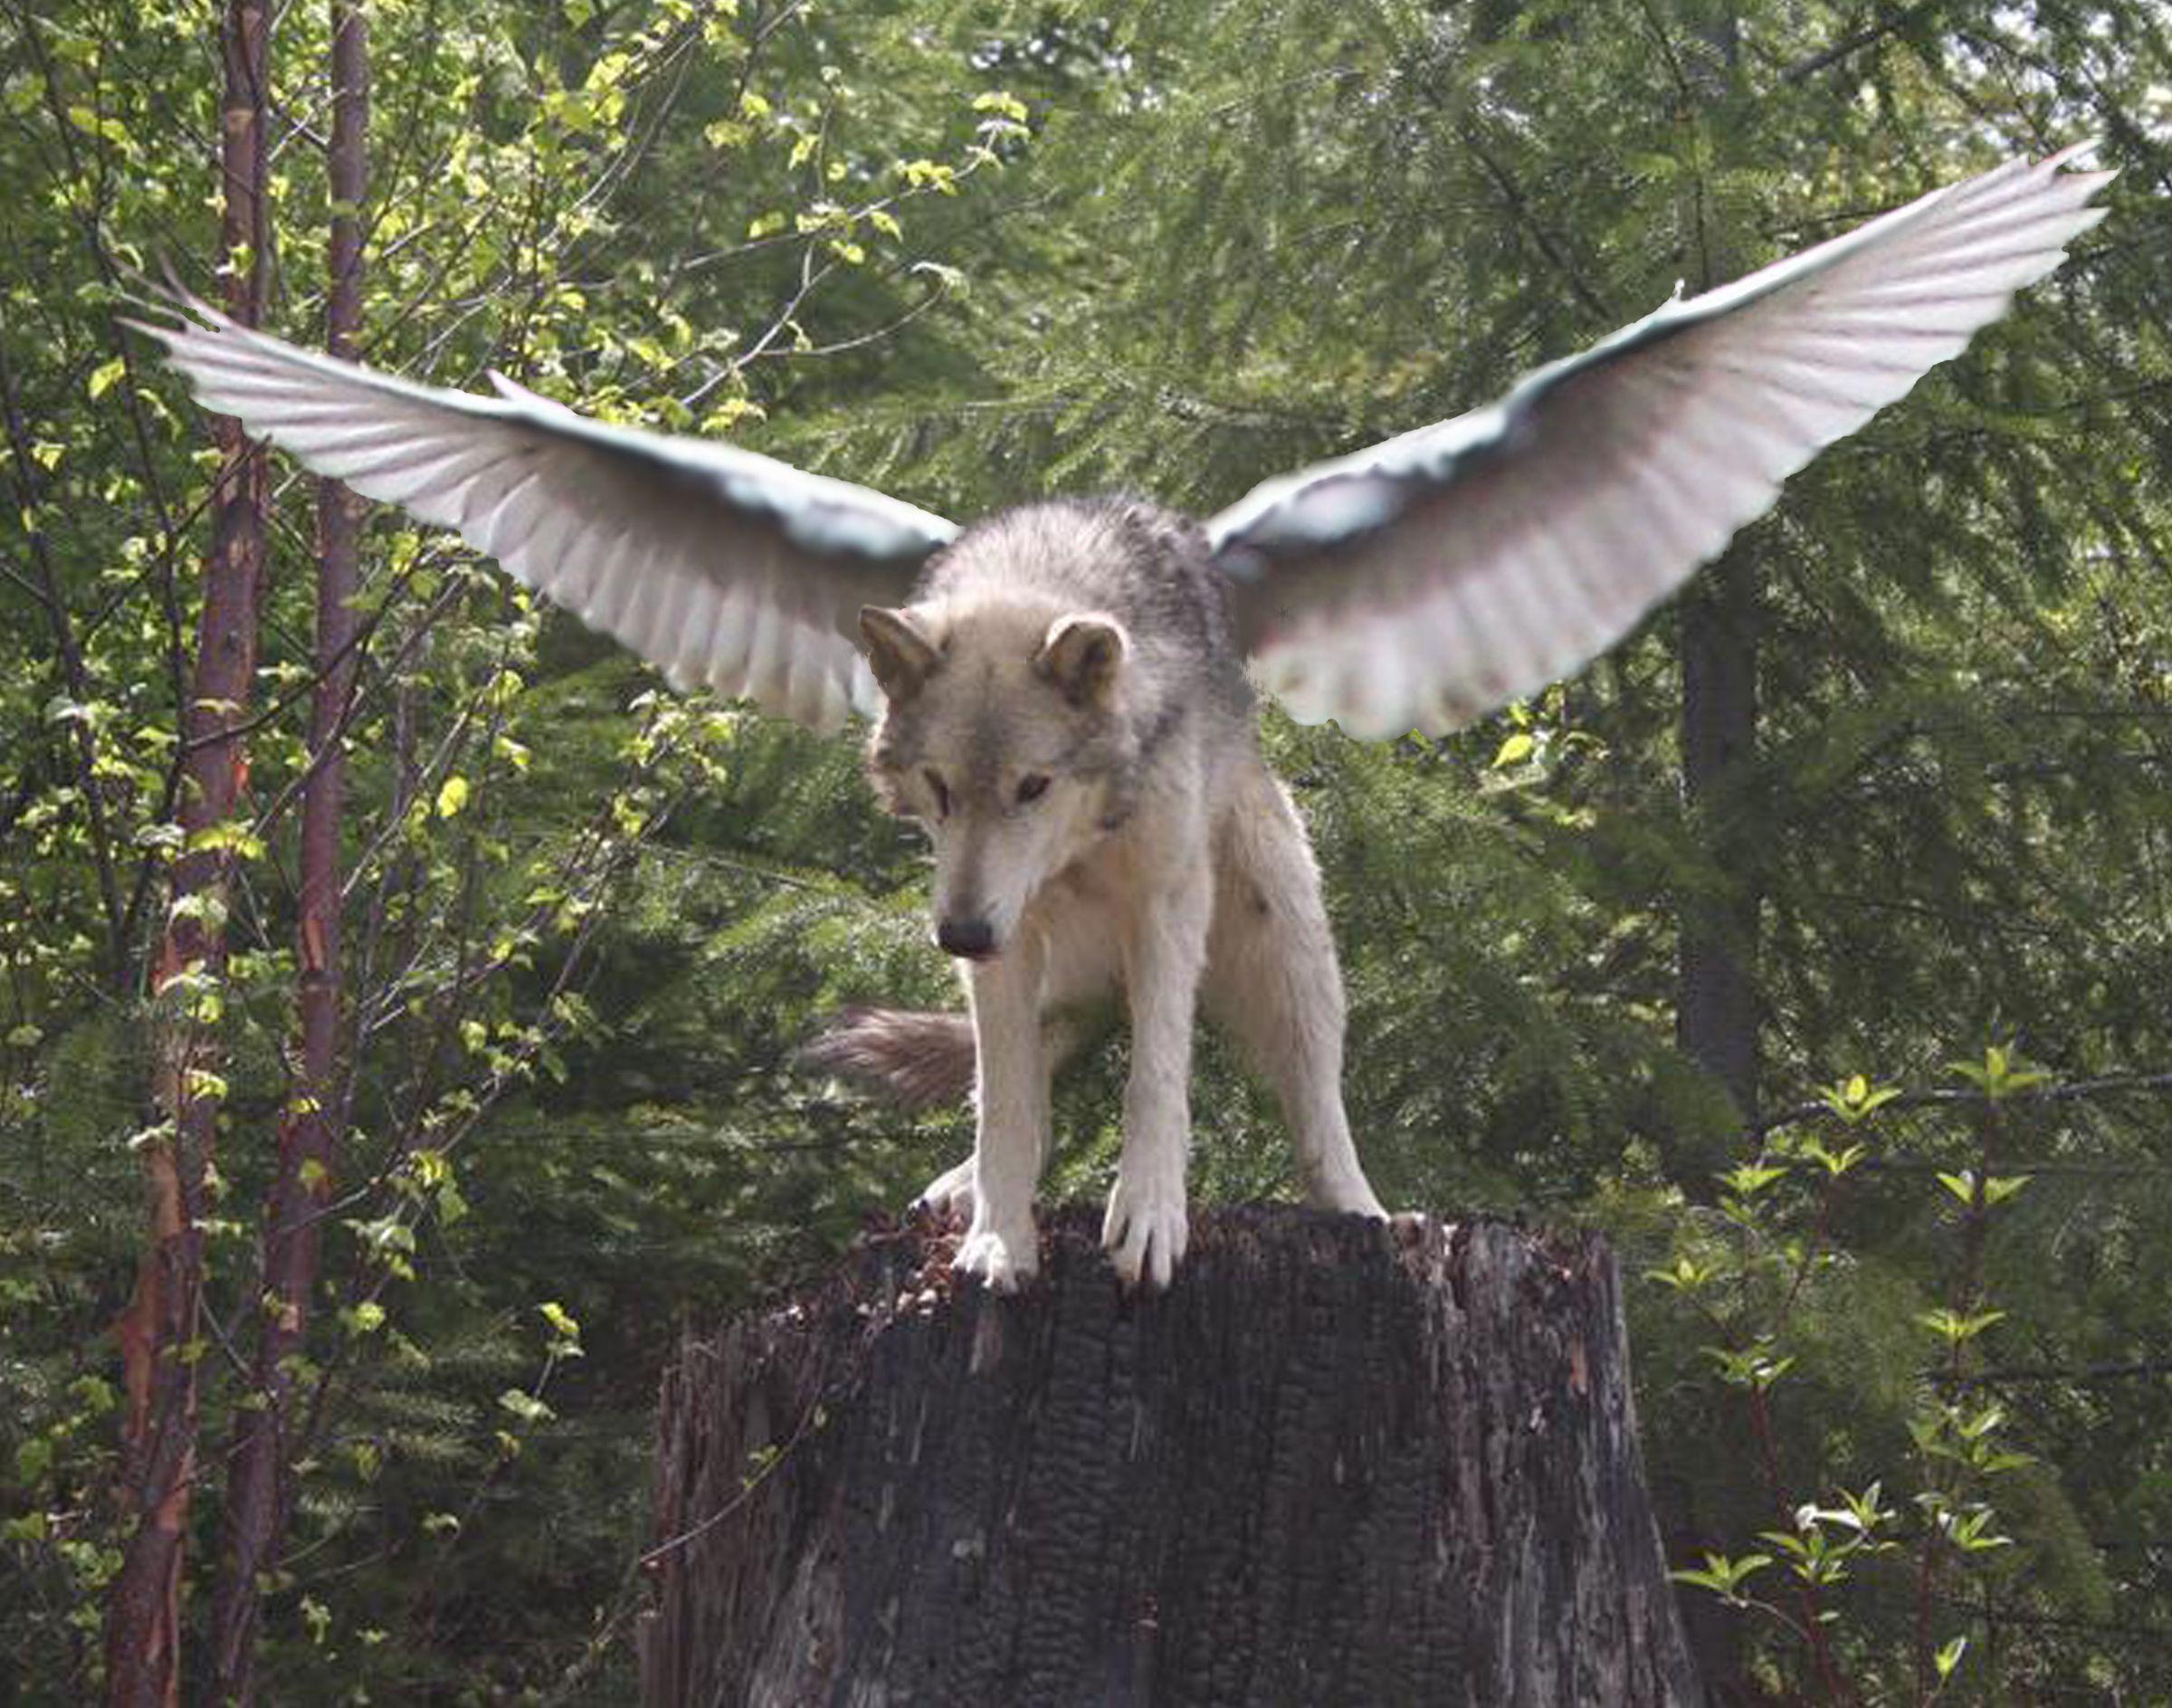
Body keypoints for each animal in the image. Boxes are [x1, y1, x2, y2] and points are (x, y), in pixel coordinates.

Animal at [136, 147, 2107, 1289]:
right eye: (929, 790)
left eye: (1035, 781)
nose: (960, 921)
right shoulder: (996, 948)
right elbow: (1017, 1110)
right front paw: (1006, 1231)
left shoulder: (1156, 903)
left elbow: (1159, 1087)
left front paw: (1149, 1221)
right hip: (1045, 977)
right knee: (1010, 1076)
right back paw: (952, 1185)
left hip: (1285, 955)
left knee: (1308, 1113)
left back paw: (1363, 1219)